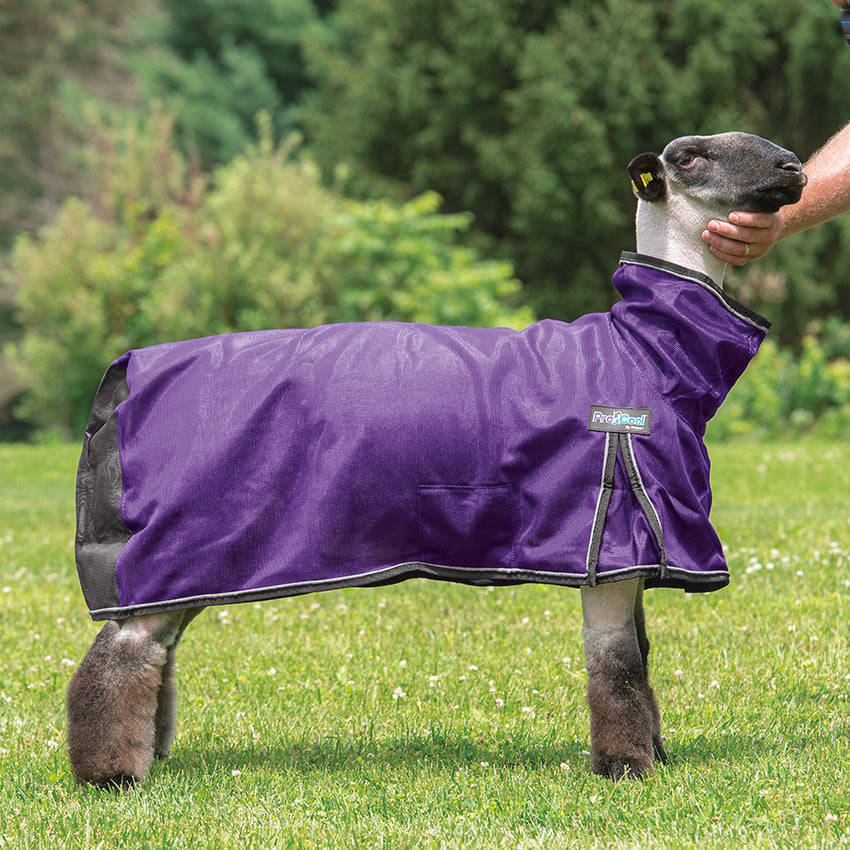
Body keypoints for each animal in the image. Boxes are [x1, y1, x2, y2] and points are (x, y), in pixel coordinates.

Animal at [67, 132, 806, 788]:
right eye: (691, 157)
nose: (794, 168)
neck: (645, 350)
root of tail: (126, 375)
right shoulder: (611, 537)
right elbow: (618, 666)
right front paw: (627, 770)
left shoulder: (638, 547)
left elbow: (642, 659)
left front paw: (654, 755)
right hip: (180, 542)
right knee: (122, 654)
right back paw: (109, 775)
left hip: (196, 563)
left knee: (156, 649)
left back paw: (151, 754)